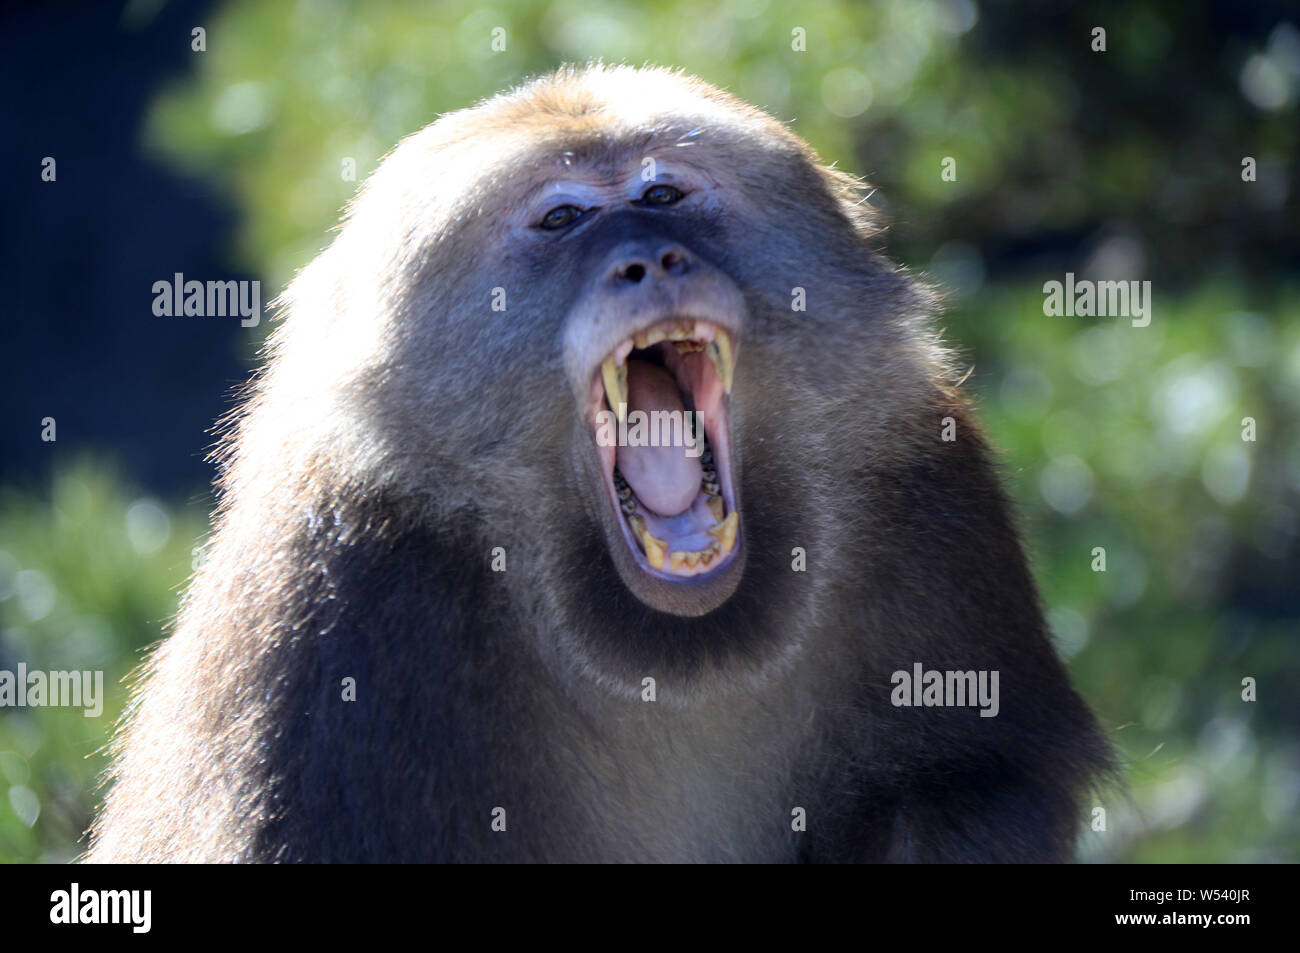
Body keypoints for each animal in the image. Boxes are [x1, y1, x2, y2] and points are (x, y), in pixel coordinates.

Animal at [87, 64, 1112, 863]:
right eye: (564, 217)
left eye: (662, 197)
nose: (649, 261)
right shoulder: (328, 608)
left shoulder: (920, 477)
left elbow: (989, 777)